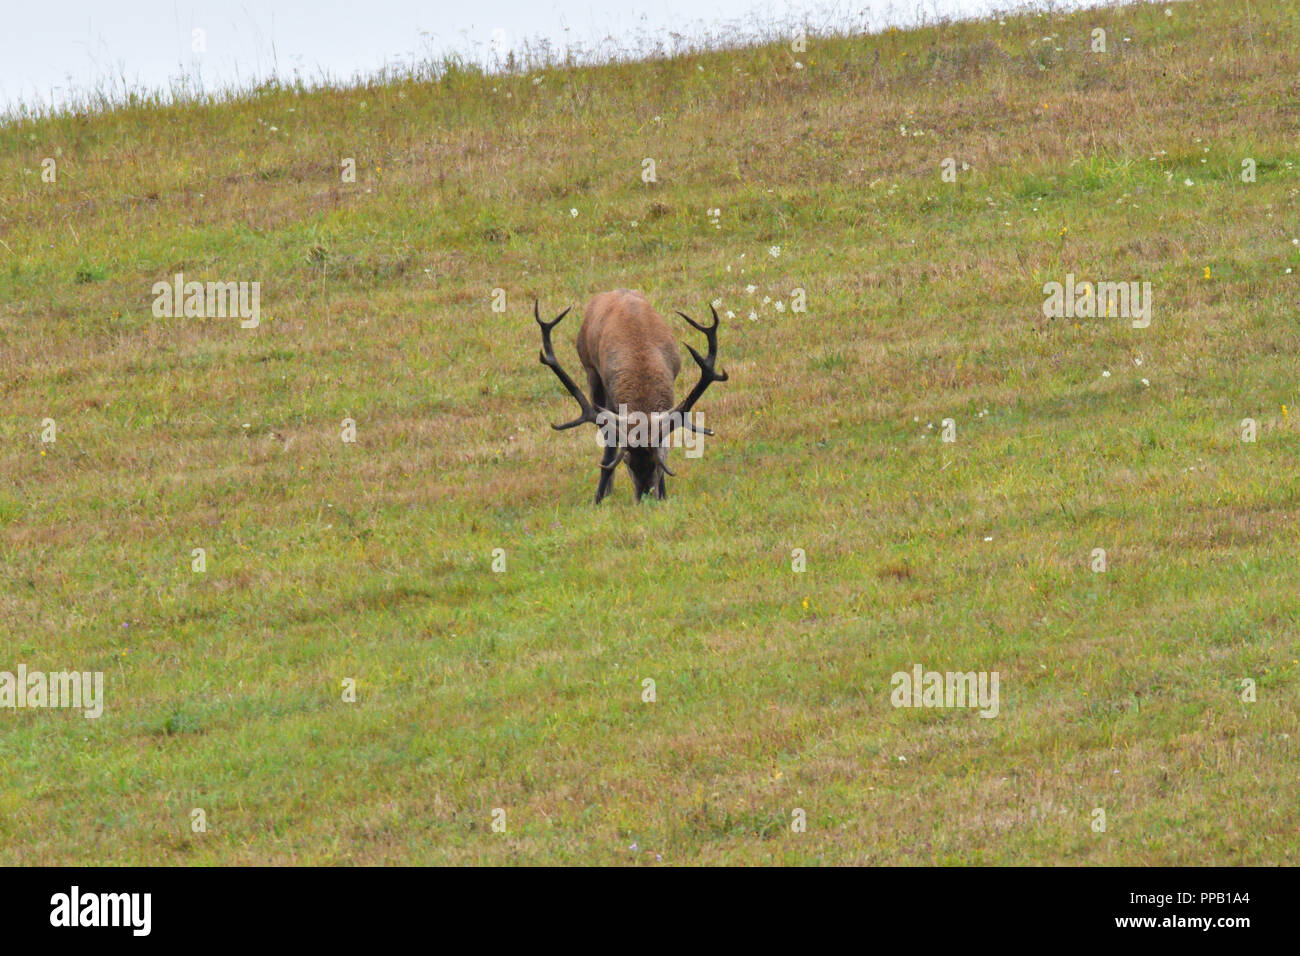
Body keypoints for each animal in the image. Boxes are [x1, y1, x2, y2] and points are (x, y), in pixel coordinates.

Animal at [535, 289, 729, 503]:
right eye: (627, 462)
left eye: (658, 462)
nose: (645, 497)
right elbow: (609, 450)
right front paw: (598, 499)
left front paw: (664, 496)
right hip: (590, 370)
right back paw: (605, 493)